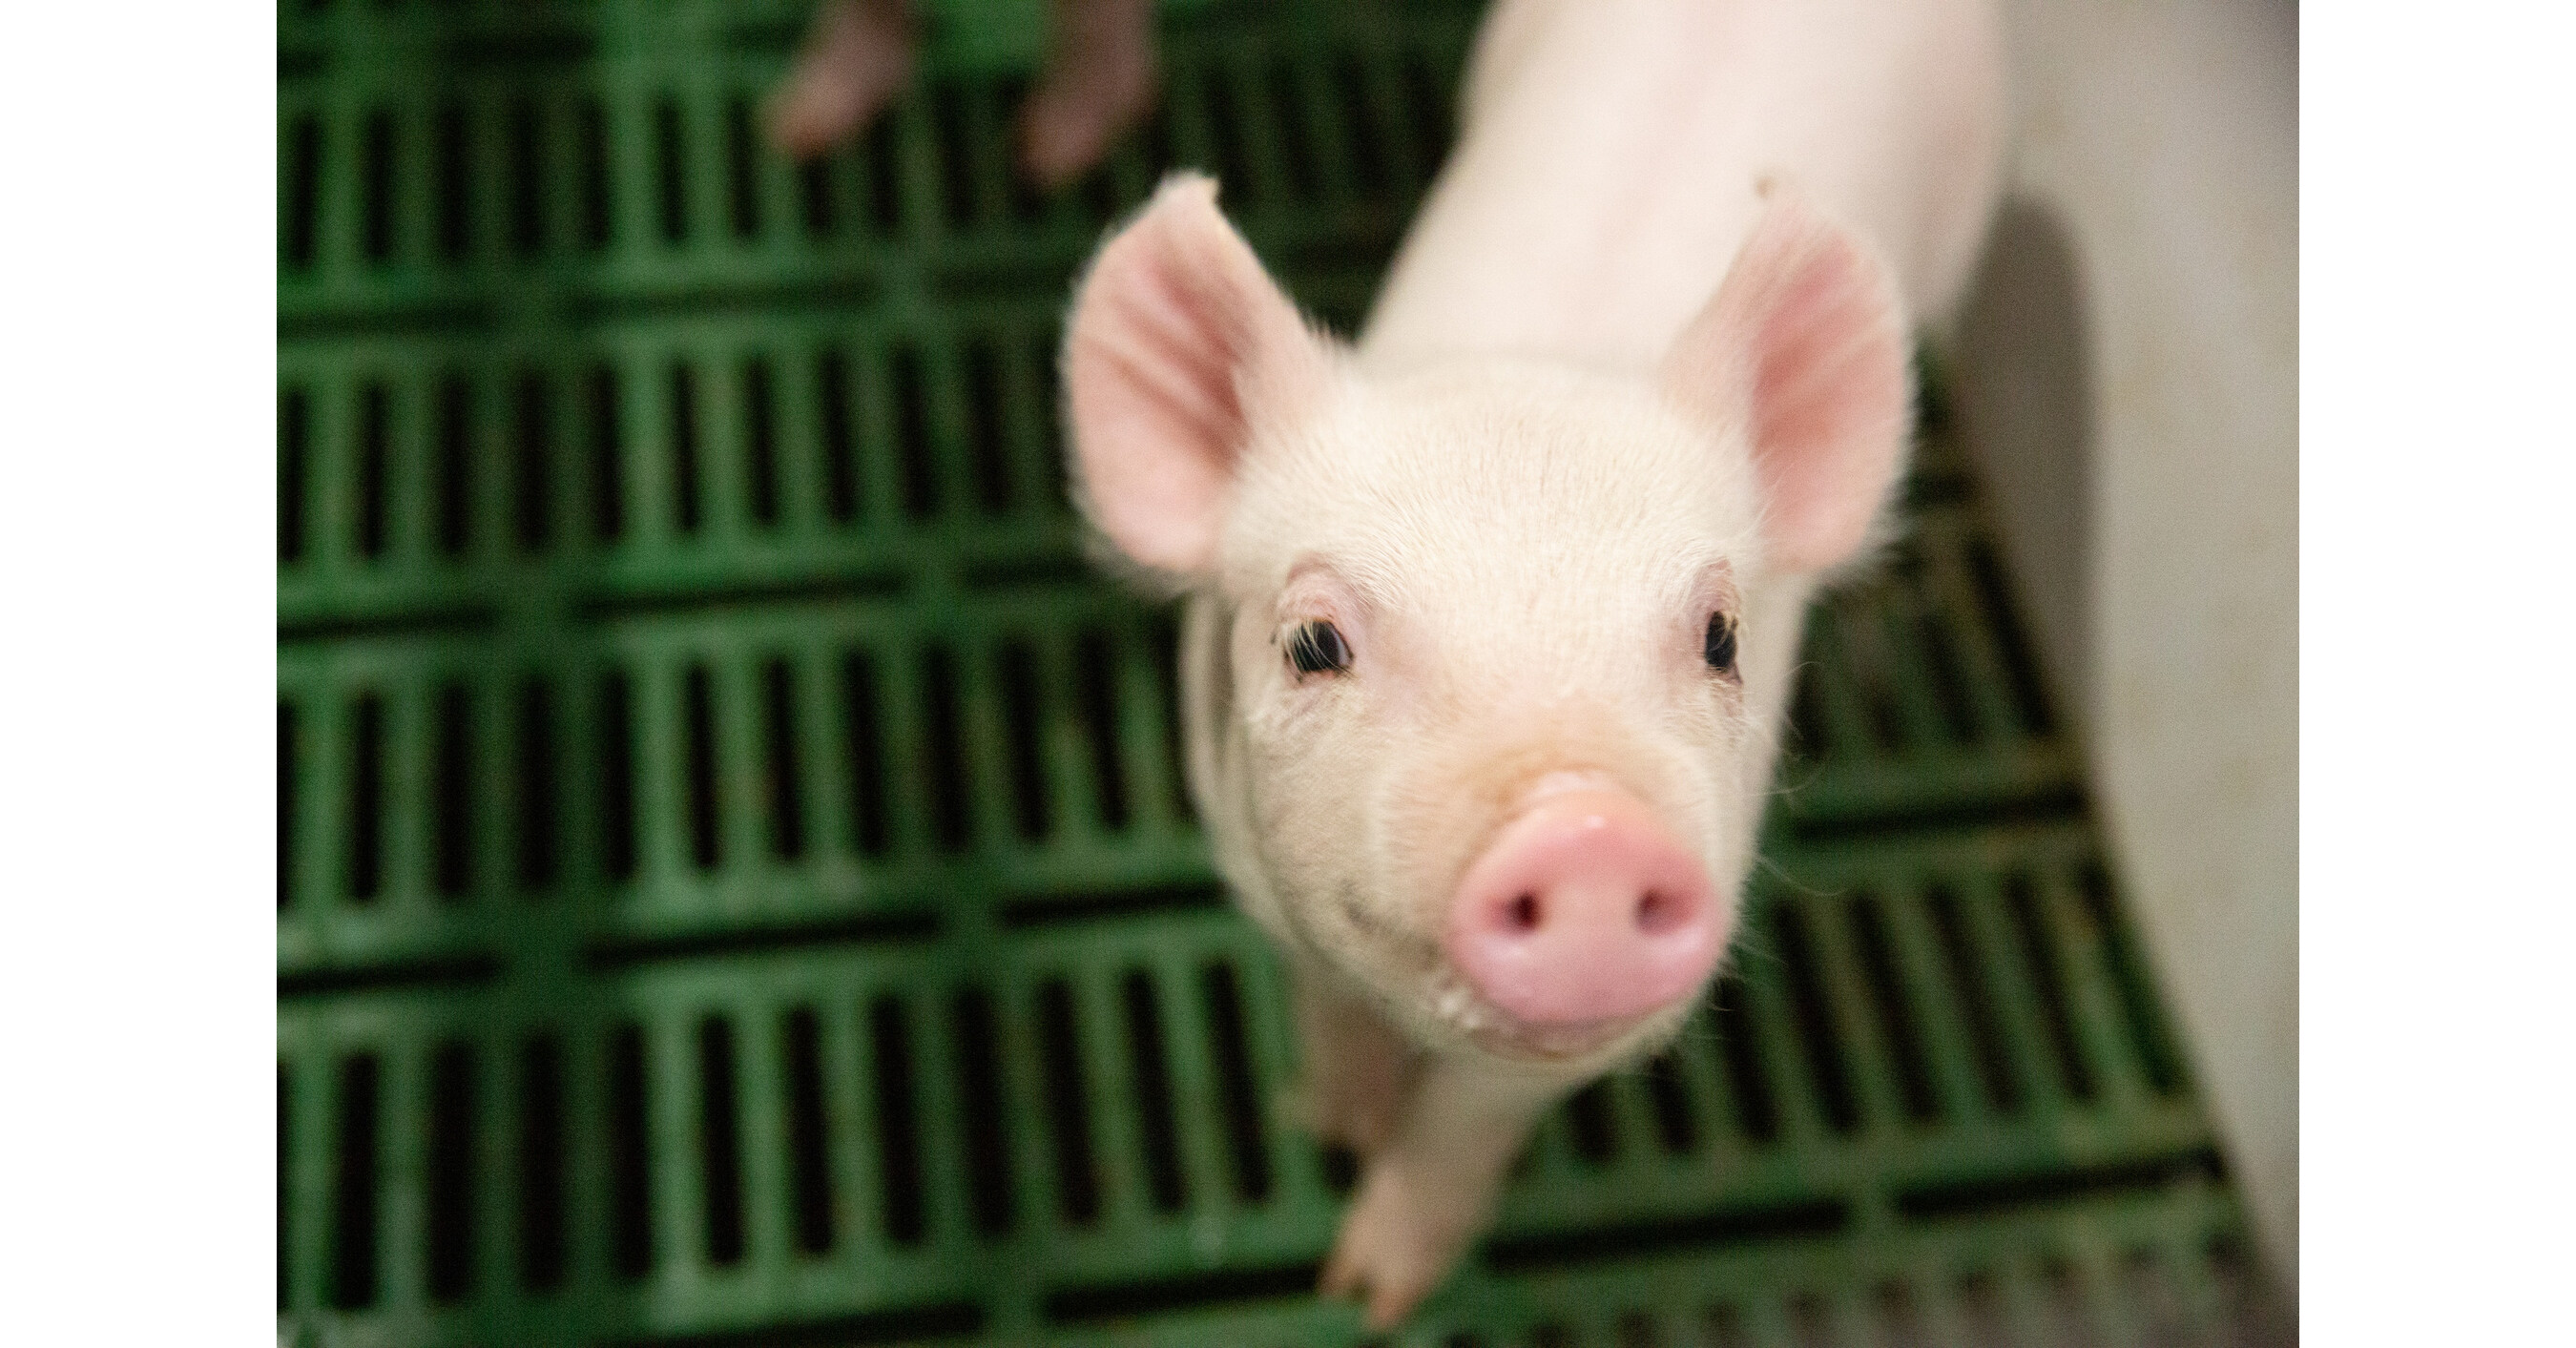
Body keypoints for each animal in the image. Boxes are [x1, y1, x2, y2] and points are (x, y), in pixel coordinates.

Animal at [1058, 0, 2005, 1326]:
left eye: (1721, 638)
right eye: (1313, 643)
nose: (1587, 829)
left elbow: (1470, 1122)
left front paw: (1373, 1295)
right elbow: (1327, 1005)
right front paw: (1333, 1133)